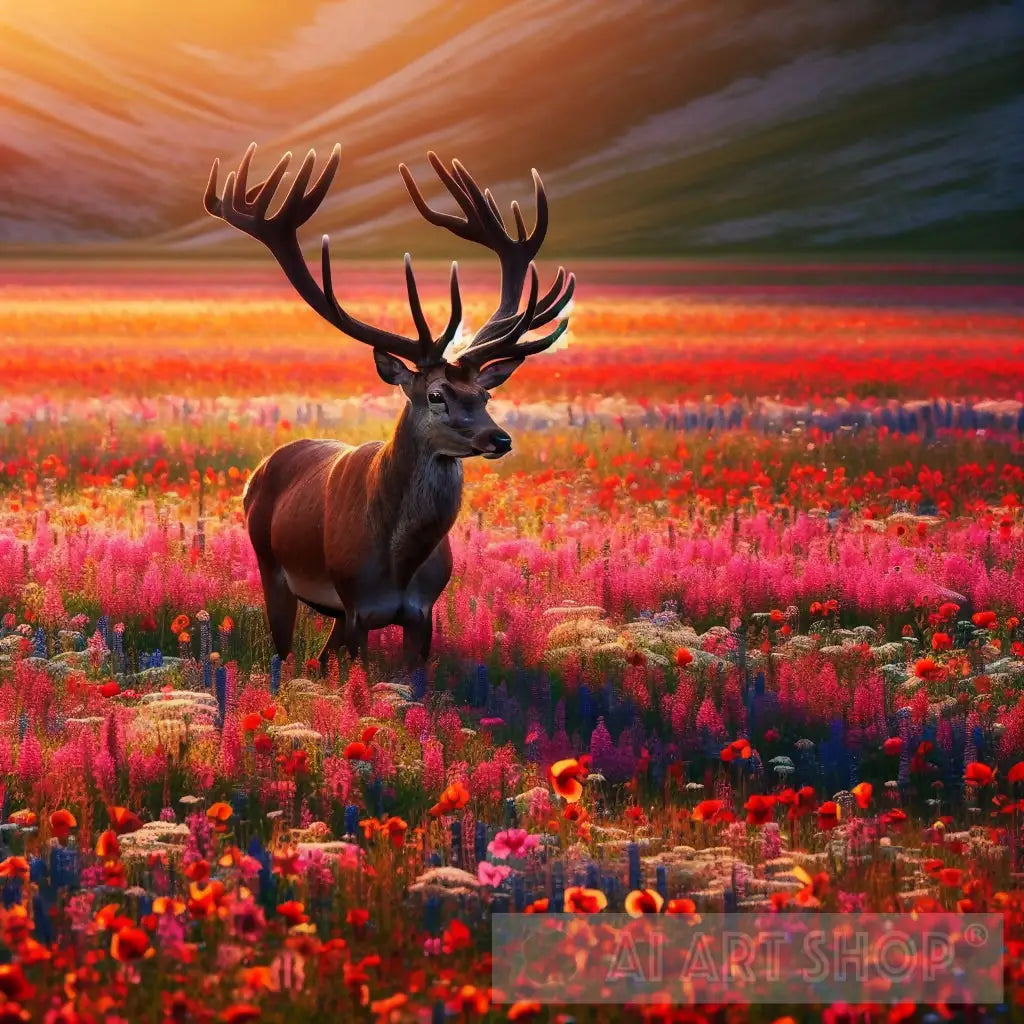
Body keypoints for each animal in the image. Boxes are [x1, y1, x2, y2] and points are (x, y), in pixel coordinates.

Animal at [203, 142, 575, 672]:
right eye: (436, 395)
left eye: (485, 395)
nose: (499, 438)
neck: (399, 565)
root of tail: (261, 468)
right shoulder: (358, 606)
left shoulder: (422, 613)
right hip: (271, 567)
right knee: (286, 654)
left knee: (321, 658)